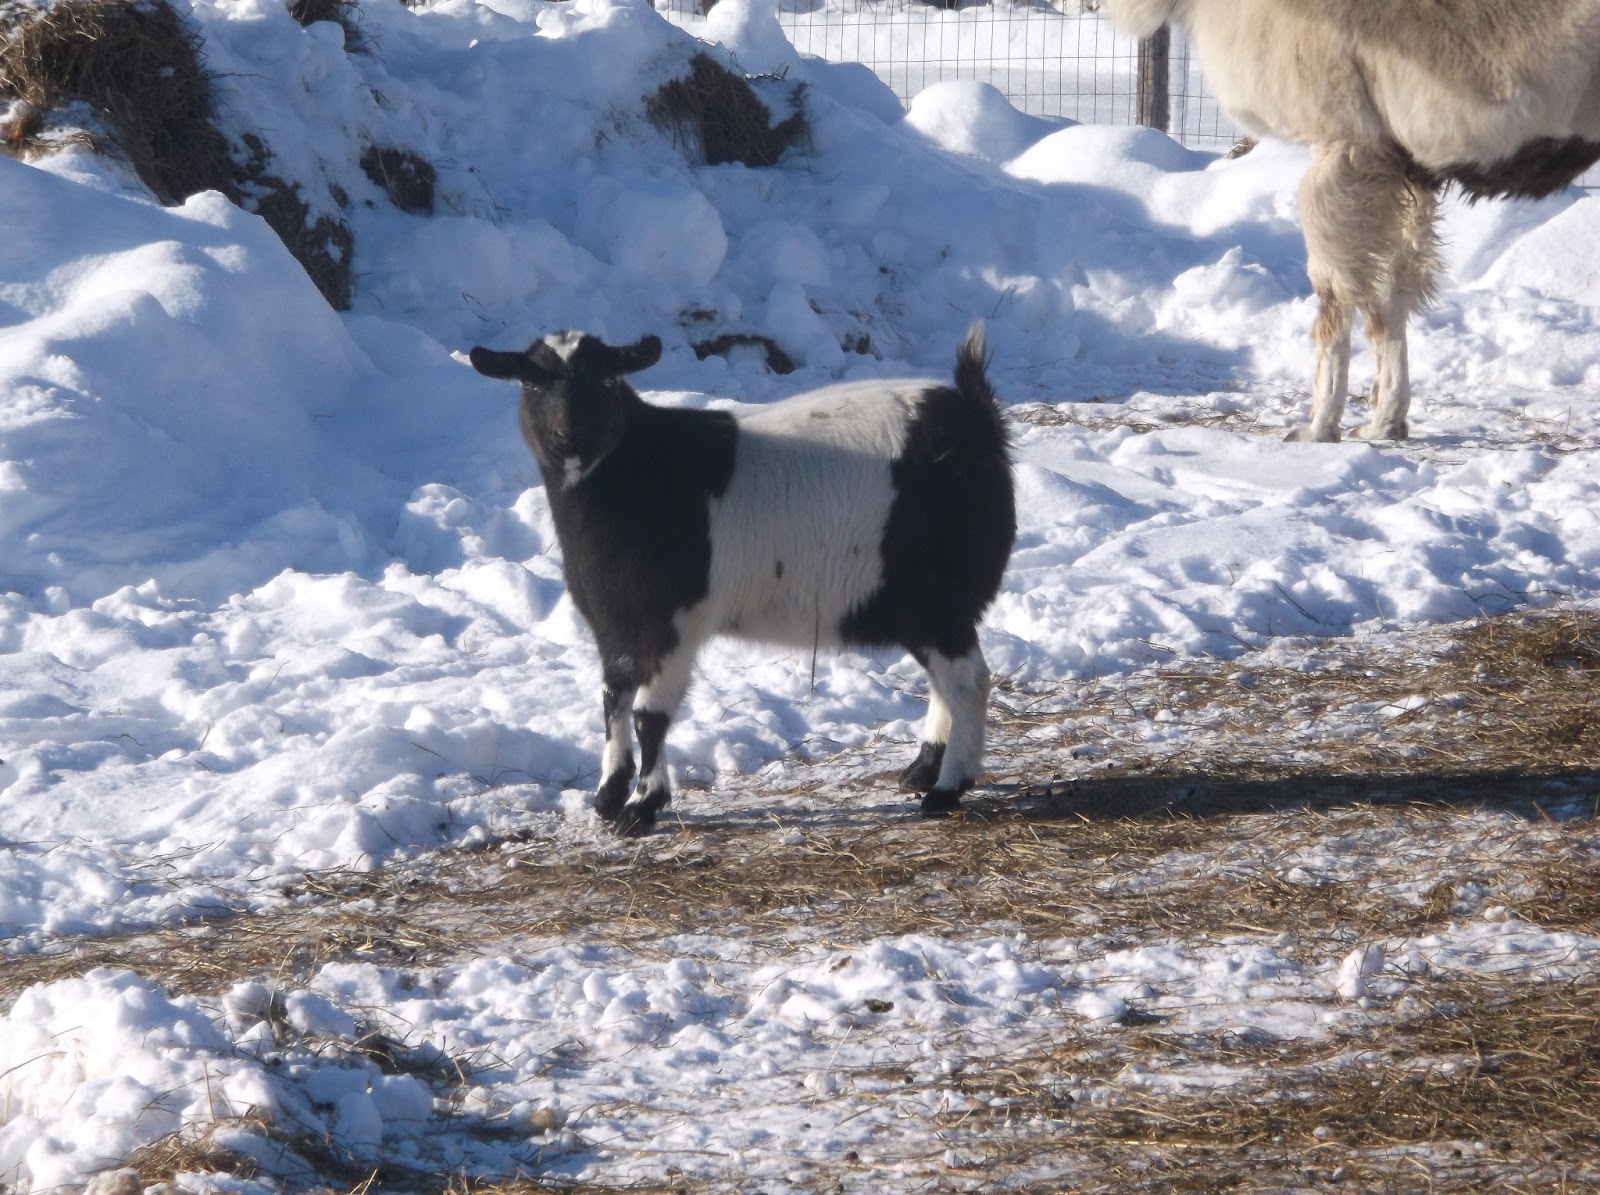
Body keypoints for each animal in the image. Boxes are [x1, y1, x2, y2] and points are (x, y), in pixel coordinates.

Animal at [469, 326, 1016, 835]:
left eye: (606, 379)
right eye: (531, 381)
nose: (570, 436)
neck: (639, 473)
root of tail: (975, 414)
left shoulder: (674, 622)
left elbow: (649, 716)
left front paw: (641, 807)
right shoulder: (615, 622)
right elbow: (613, 700)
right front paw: (607, 796)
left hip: (937, 598)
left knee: (968, 681)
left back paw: (948, 788)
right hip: (924, 608)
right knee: (945, 681)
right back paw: (922, 769)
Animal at [1106, 0, 1600, 442]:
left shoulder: (1345, 142)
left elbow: (1335, 292)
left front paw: (1319, 426)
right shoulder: (1404, 164)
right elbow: (1393, 295)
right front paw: (1386, 422)